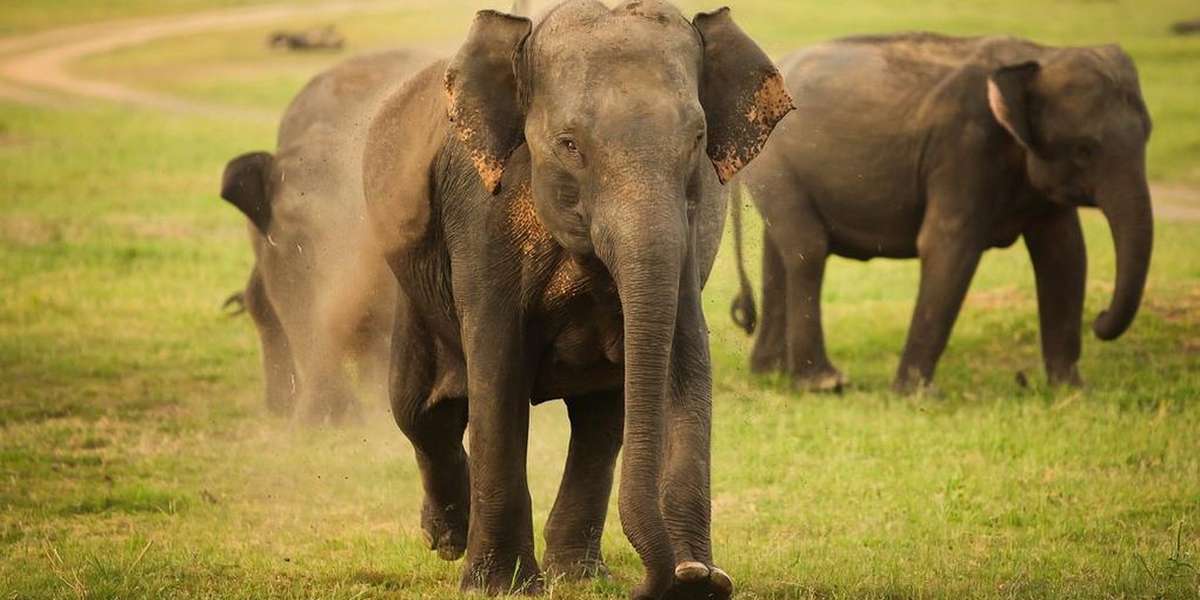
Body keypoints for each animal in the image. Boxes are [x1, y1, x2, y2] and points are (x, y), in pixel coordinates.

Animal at [361, 1, 791, 597]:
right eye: (569, 145)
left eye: (697, 140)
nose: (679, 574)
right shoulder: (481, 214)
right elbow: (497, 369)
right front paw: (498, 587)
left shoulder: (693, 227)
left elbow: (686, 357)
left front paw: (701, 580)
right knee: (418, 409)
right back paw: (447, 540)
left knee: (599, 416)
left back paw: (577, 573)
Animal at [728, 33, 1153, 393]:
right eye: (1084, 150)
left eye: (1149, 134)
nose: (1100, 320)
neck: (1039, 55)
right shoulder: (962, 146)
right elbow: (949, 246)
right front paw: (916, 394)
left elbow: (1065, 255)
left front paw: (1073, 391)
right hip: (776, 164)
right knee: (808, 249)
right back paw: (824, 384)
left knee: (780, 251)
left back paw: (769, 373)